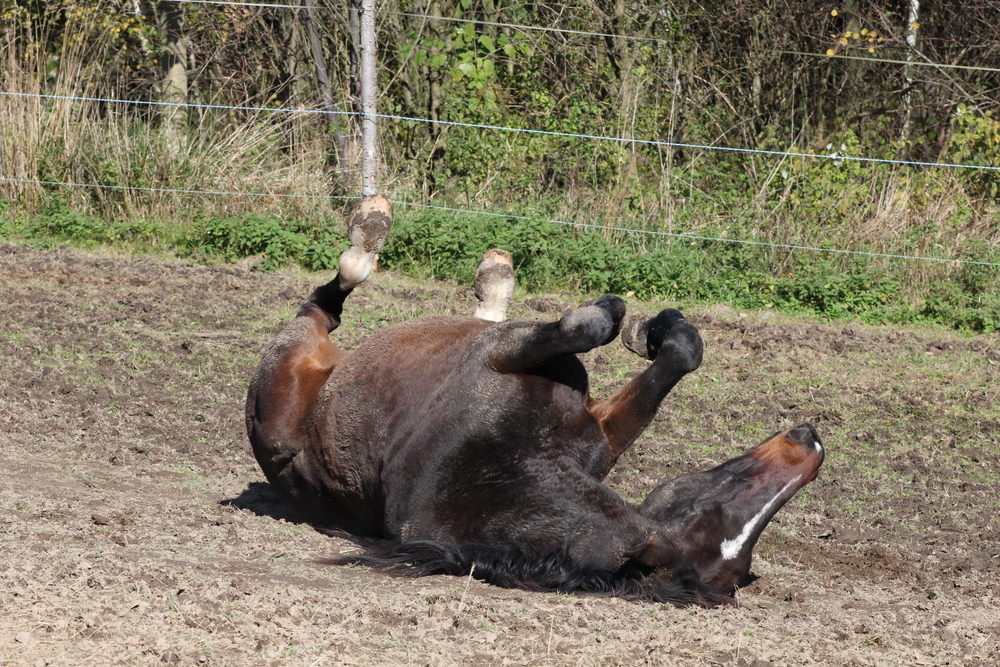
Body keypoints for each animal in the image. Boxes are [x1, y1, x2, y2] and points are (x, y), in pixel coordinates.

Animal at [245, 195, 824, 606]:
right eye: (706, 508)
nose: (812, 444)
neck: (506, 462)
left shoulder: (540, 385)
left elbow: (603, 330)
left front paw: (634, 321)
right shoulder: (579, 414)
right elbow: (651, 344)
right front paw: (653, 326)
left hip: (293, 354)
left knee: (334, 296)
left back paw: (431, 250)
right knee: (342, 295)